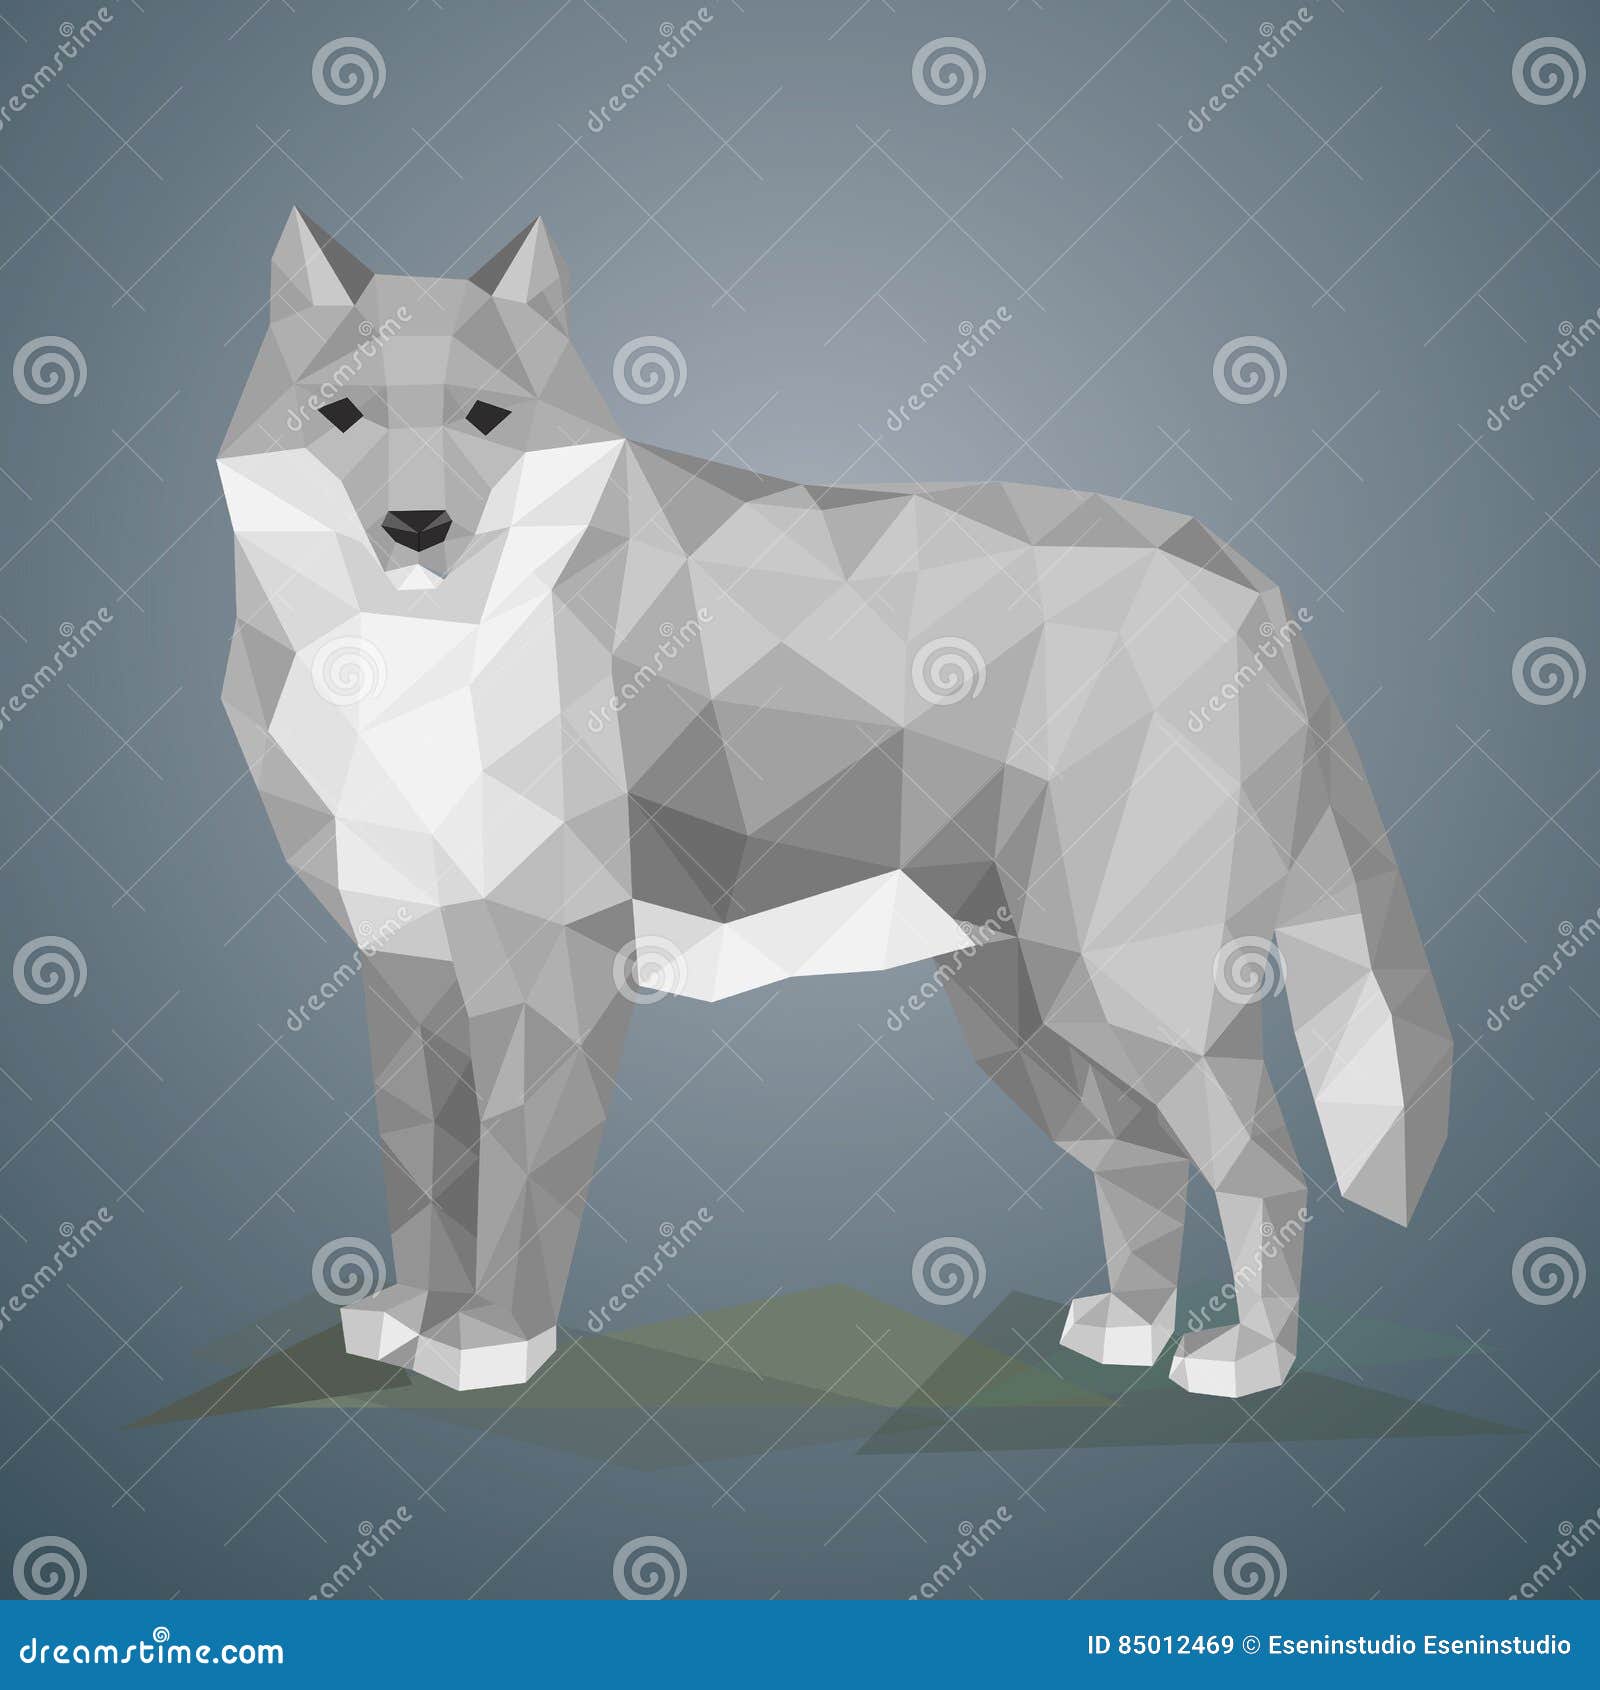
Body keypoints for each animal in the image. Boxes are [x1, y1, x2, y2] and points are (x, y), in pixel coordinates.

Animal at [219, 211, 1450, 1398]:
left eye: (487, 416)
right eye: (341, 414)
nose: (416, 526)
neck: (411, 673)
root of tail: (1245, 574)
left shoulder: (549, 975)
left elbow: (516, 1191)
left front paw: (485, 1345)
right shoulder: (407, 979)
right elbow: (426, 1186)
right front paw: (403, 1326)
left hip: (1135, 993)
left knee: (1266, 1171)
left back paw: (1244, 1363)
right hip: (1031, 1015)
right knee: (1144, 1164)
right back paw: (1126, 1333)